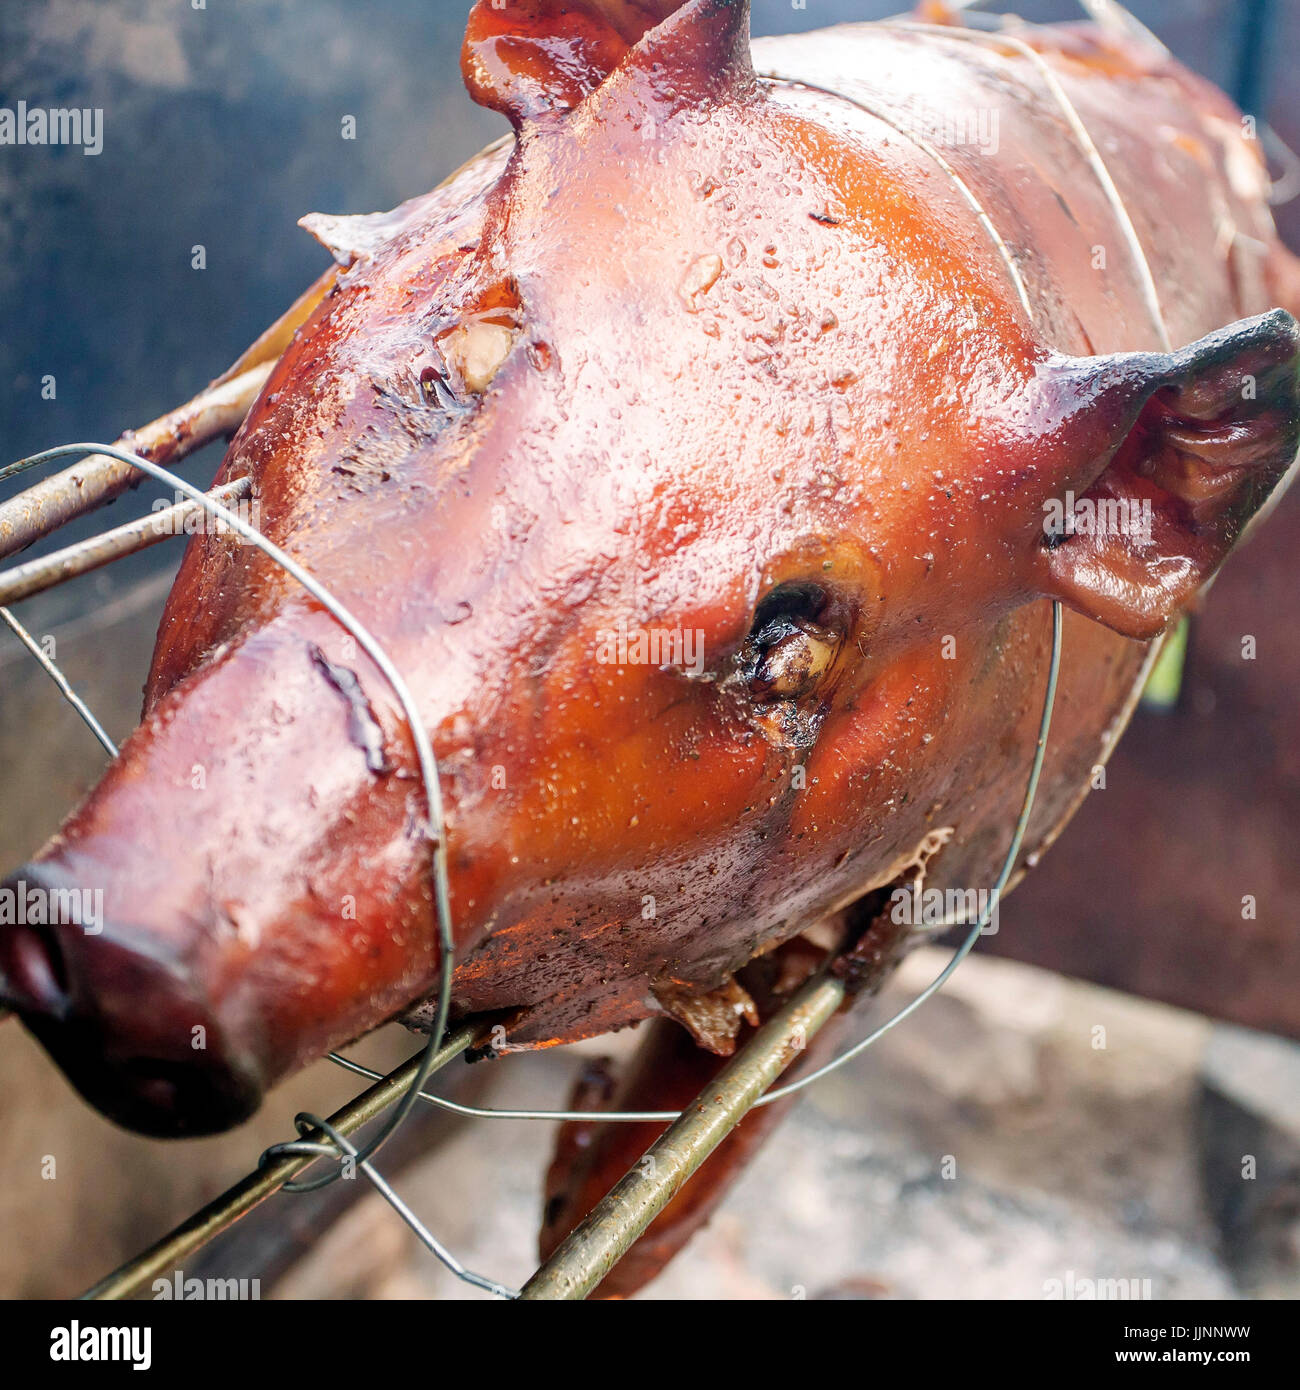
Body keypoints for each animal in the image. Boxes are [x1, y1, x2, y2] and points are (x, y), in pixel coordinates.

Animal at [2, 0, 1298, 1286]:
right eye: (466, 354)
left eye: (792, 643)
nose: (138, 955)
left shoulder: (924, 895)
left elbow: (665, 1181)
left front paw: (580, 1172)